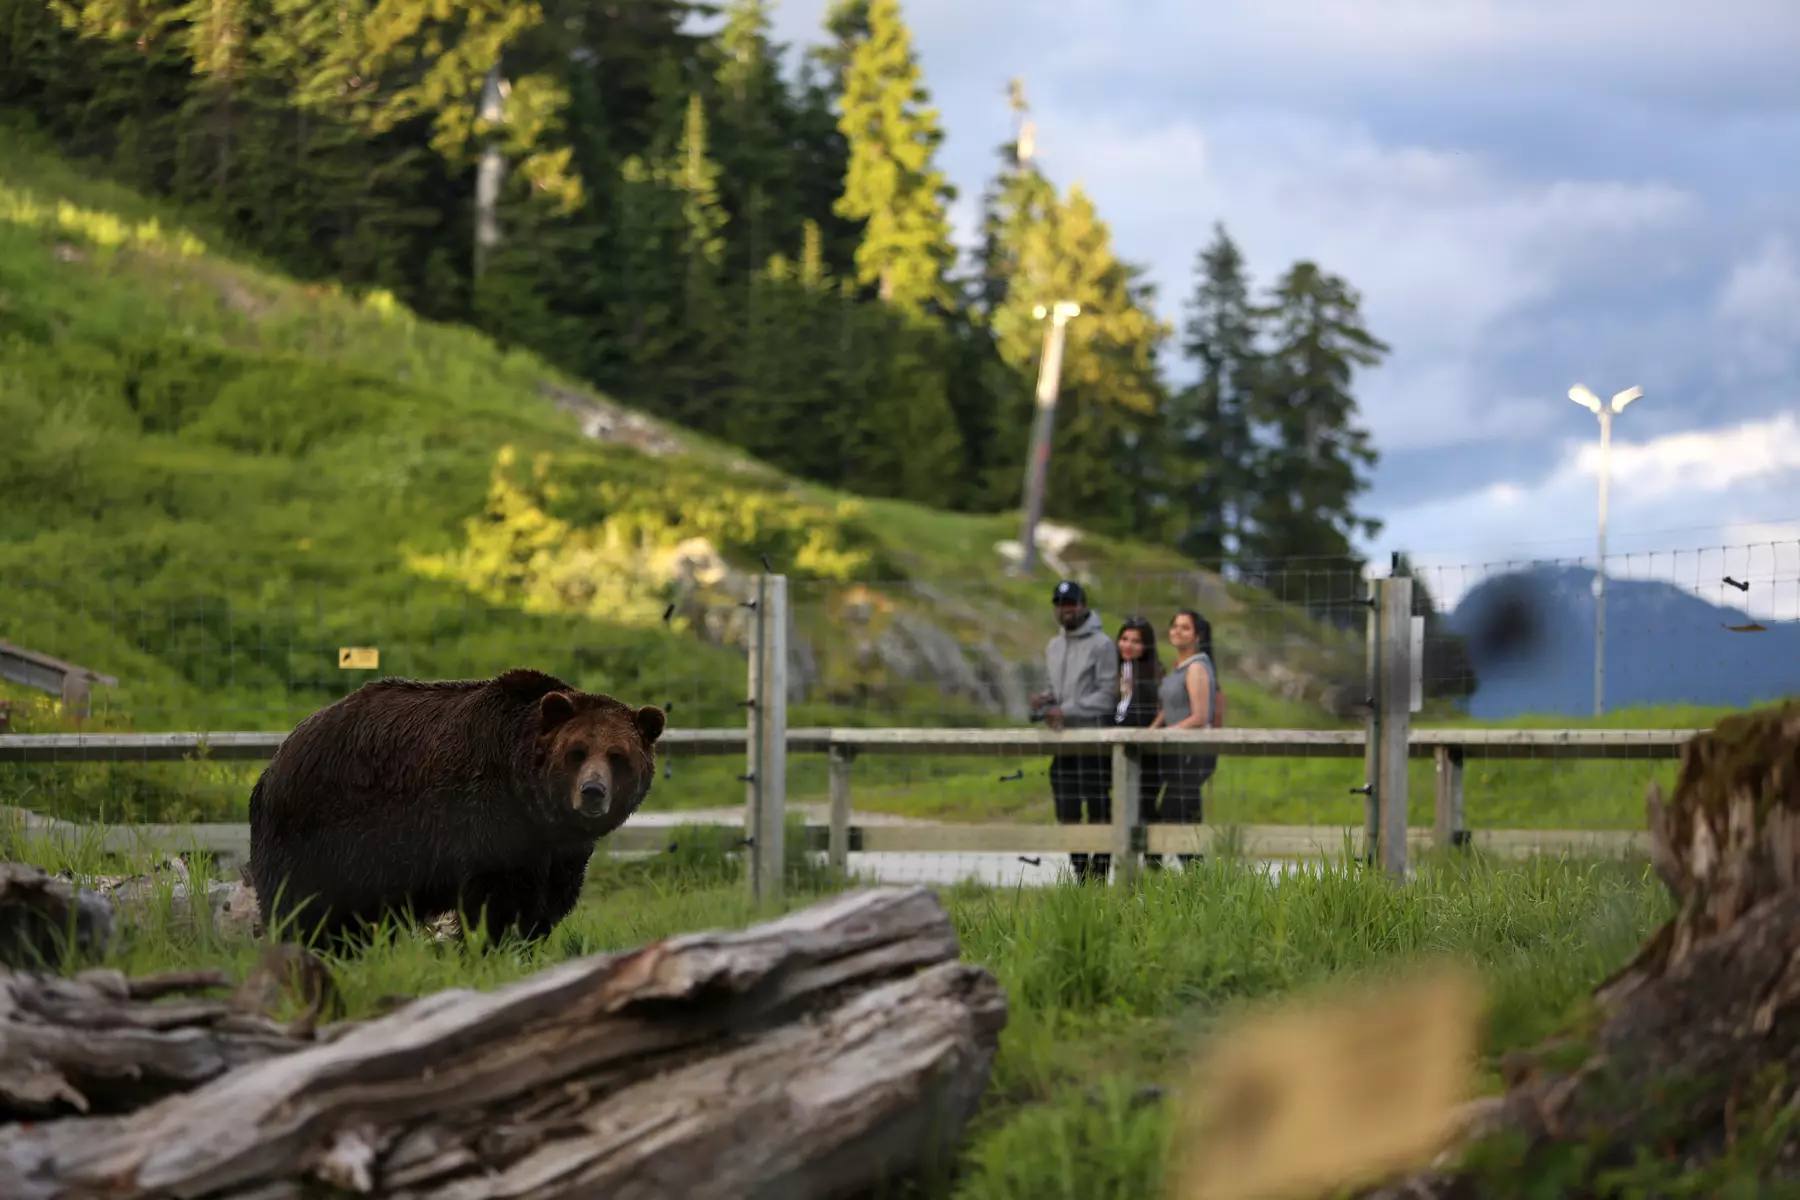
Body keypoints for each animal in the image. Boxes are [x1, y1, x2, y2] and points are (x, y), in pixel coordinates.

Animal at [248, 672, 669, 949]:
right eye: (577, 752)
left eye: (617, 756)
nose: (592, 791)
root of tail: (274, 762)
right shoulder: (487, 817)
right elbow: (500, 900)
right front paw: (495, 947)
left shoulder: (559, 851)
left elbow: (549, 901)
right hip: (318, 829)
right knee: (302, 906)